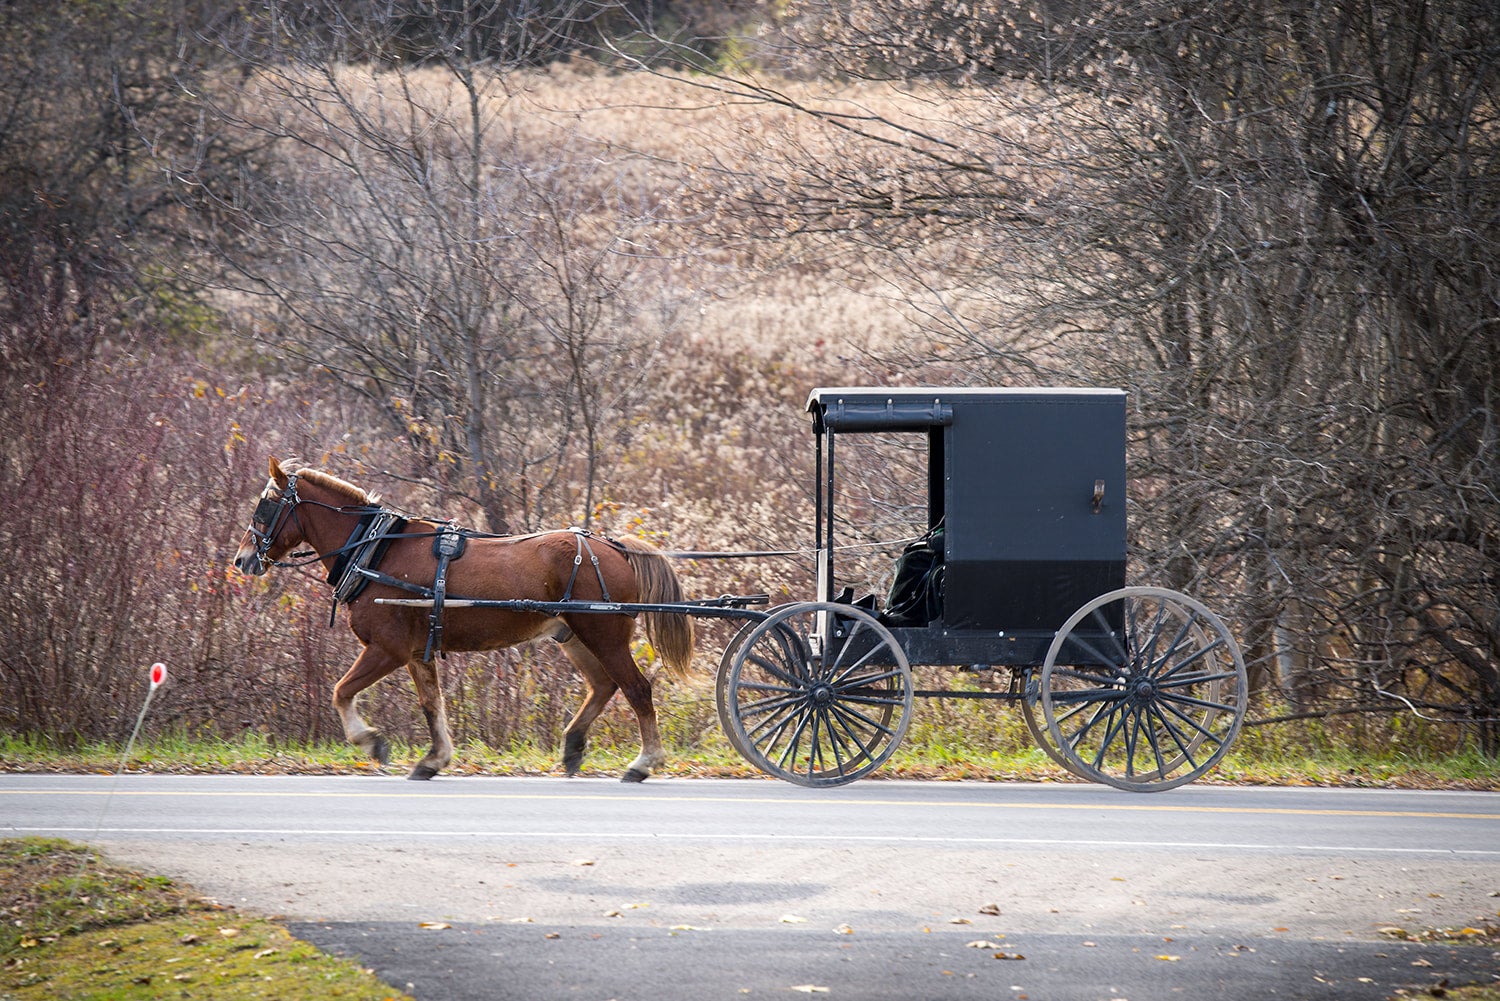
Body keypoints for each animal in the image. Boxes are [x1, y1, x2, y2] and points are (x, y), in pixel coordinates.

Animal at [232, 457, 695, 782]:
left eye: (265, 507)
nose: (242, 559)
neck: (376, 550)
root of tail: (616, 548)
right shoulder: (417, 652)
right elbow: (431, 704)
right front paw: (434, 759)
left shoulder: (387, 649)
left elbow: (341, 691)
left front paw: (373, 742)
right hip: (573, 635)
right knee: (603, 686)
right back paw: (573, 747)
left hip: (605, 635)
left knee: (636, 689)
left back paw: (644, 762)